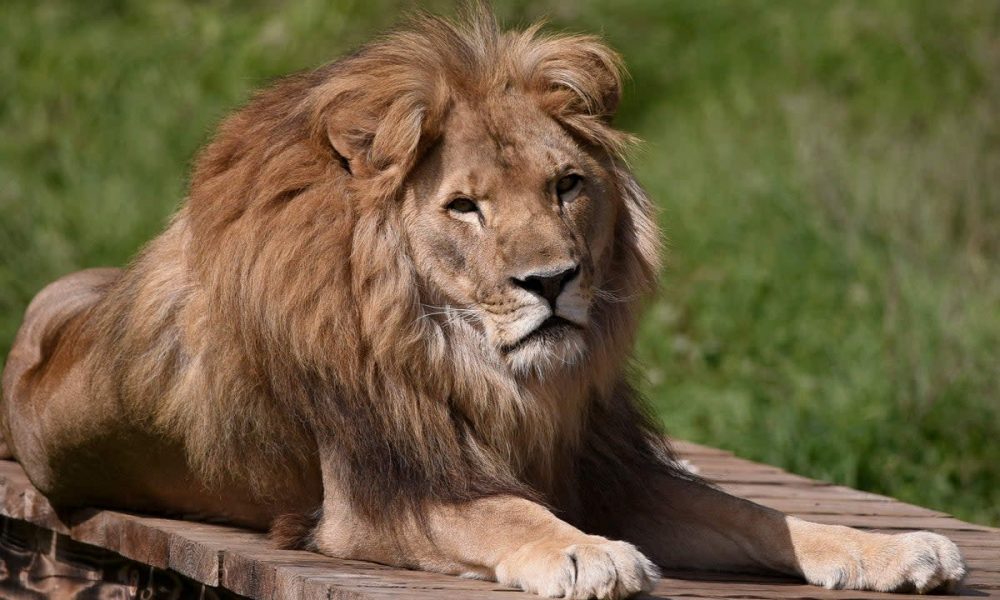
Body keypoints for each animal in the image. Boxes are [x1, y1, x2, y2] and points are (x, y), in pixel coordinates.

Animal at [0, 8, 966, 599]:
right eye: (465, 206)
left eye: (567, 185)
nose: (552, 281)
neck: (490, 374)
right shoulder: (378, 498)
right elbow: (509, 510)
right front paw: (585, 550)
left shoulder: (605, 470)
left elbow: (763, 515)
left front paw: (894, 547)